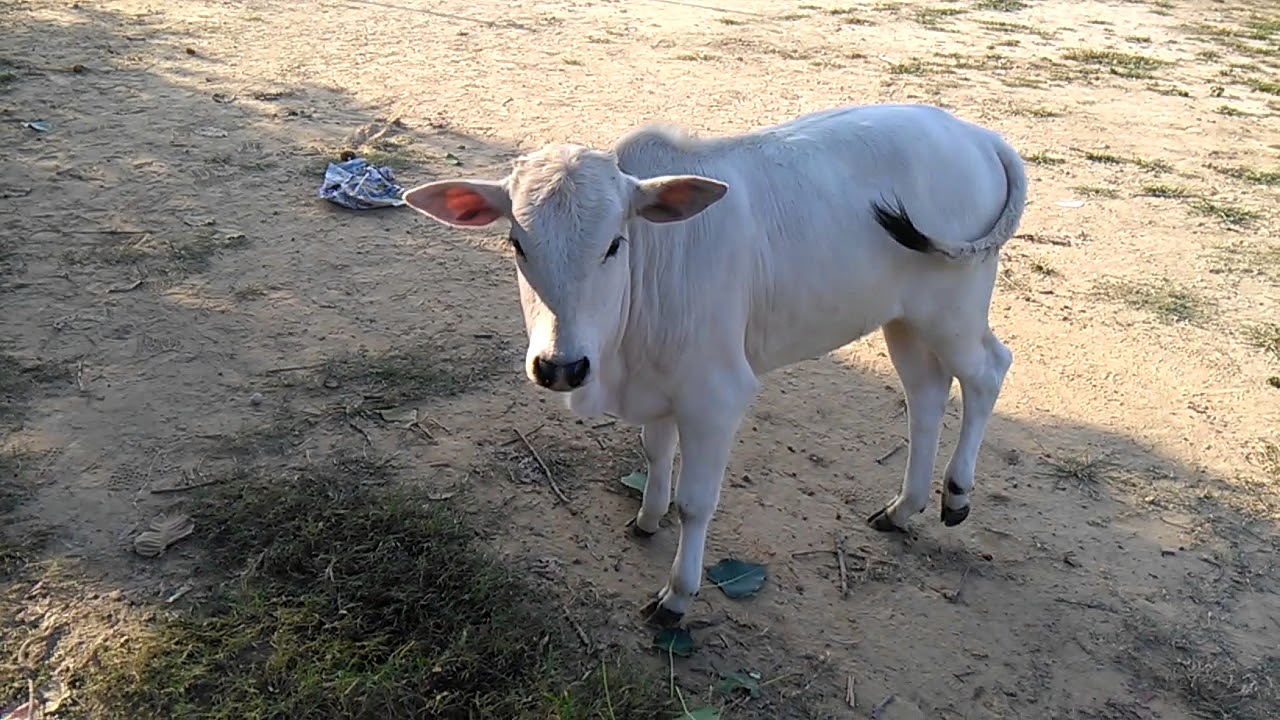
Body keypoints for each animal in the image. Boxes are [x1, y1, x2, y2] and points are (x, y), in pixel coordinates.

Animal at [401, 103, 1027, 627]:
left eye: (613, 244)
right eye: (516, 243)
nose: (561, 366)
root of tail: (978, 135)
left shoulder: (716, 397)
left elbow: (695, 503)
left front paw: (677, 596)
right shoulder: (661, 389)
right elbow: (656, 453)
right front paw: (646, 518)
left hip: (954, 310)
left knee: (987, 372)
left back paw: (956, 494)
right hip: (903, 318)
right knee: (926, 396)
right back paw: (903, 508)